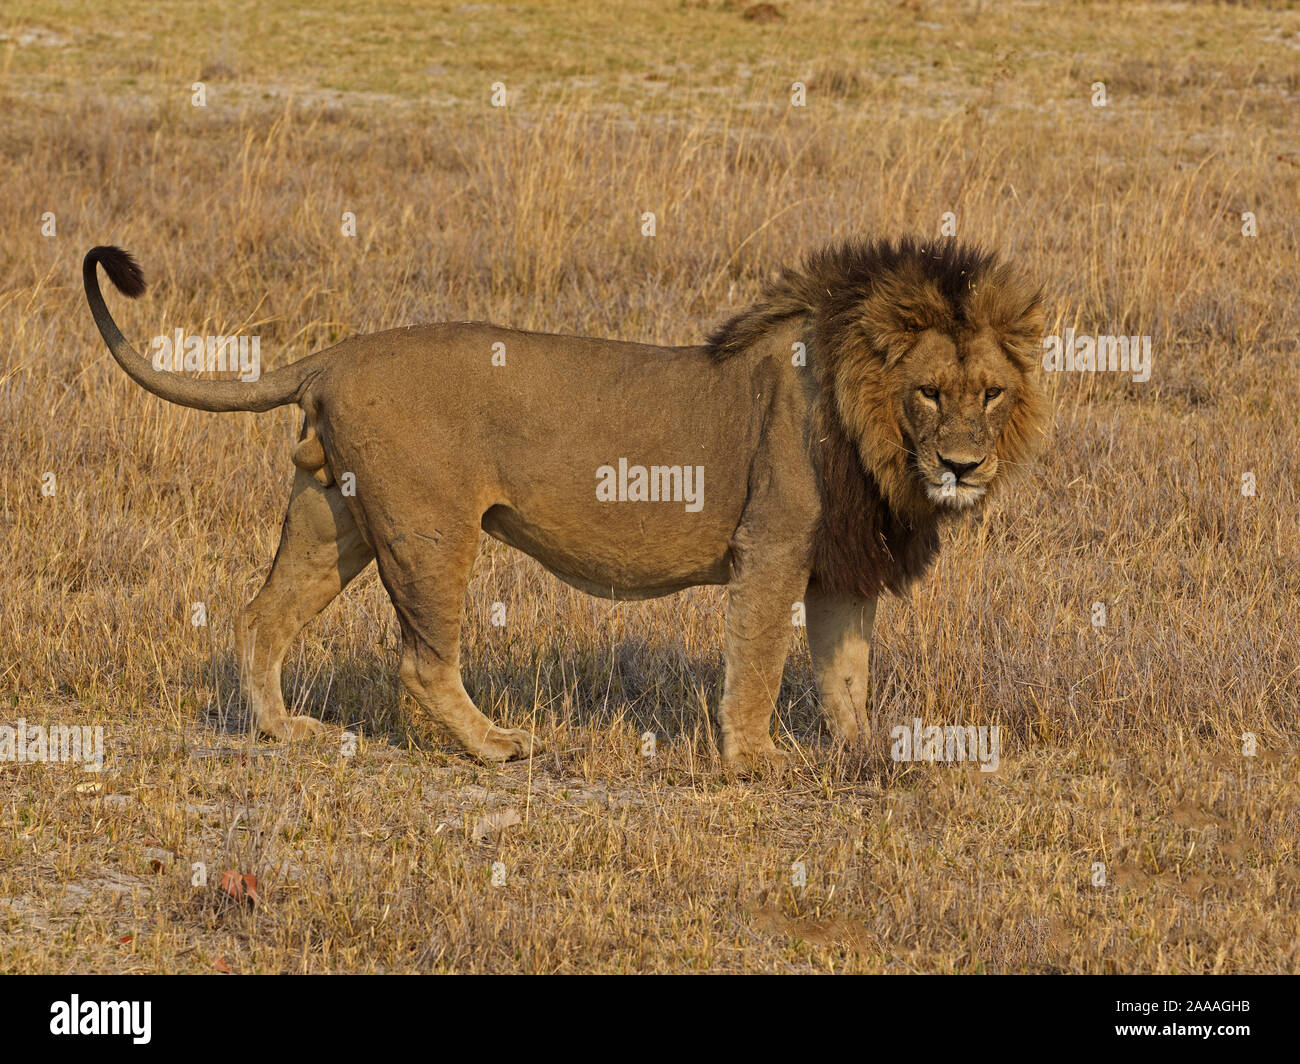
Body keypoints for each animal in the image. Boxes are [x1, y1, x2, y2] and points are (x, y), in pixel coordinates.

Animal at [83, 238, 1044, 772]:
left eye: (991, 394)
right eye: (929, 393)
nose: (963, 466)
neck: (867, 423)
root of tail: (332, 354)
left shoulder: (842, 567)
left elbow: (847, 673)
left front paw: (865, 755)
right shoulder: (772, 546)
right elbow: (762, 663)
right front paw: (755, 760)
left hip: (334, 514)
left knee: (259, 617)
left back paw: (289, 733)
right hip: (430, 529)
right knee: (421, 662)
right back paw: (499, 747)